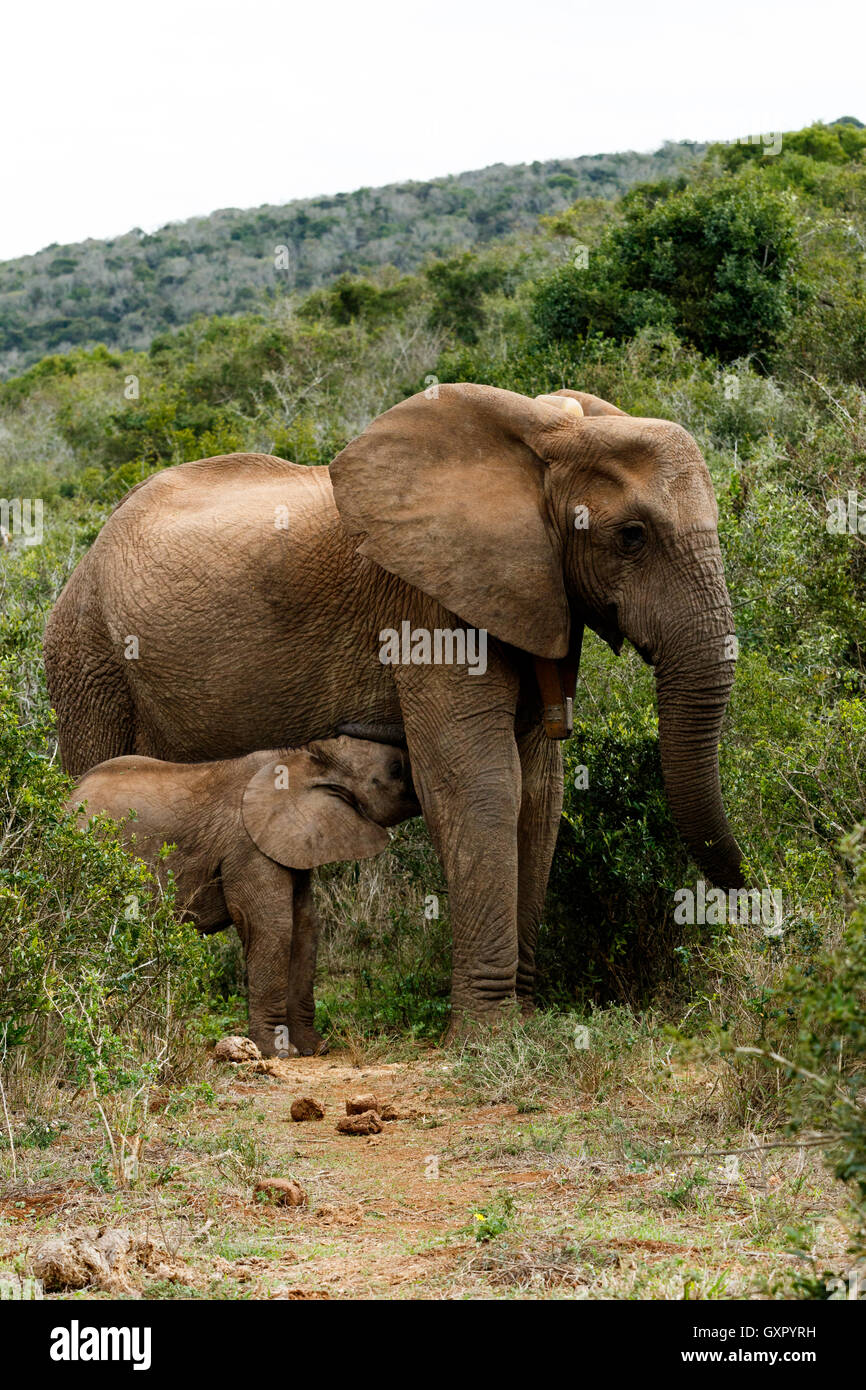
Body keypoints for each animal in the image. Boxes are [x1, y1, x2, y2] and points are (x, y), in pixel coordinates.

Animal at [67, 737, 418, 1056]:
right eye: (396, 769)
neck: (305, 755)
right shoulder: (247, 845)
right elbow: (272, 926)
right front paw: (278, 1051)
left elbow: (305, 926)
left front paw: (316, 1048)